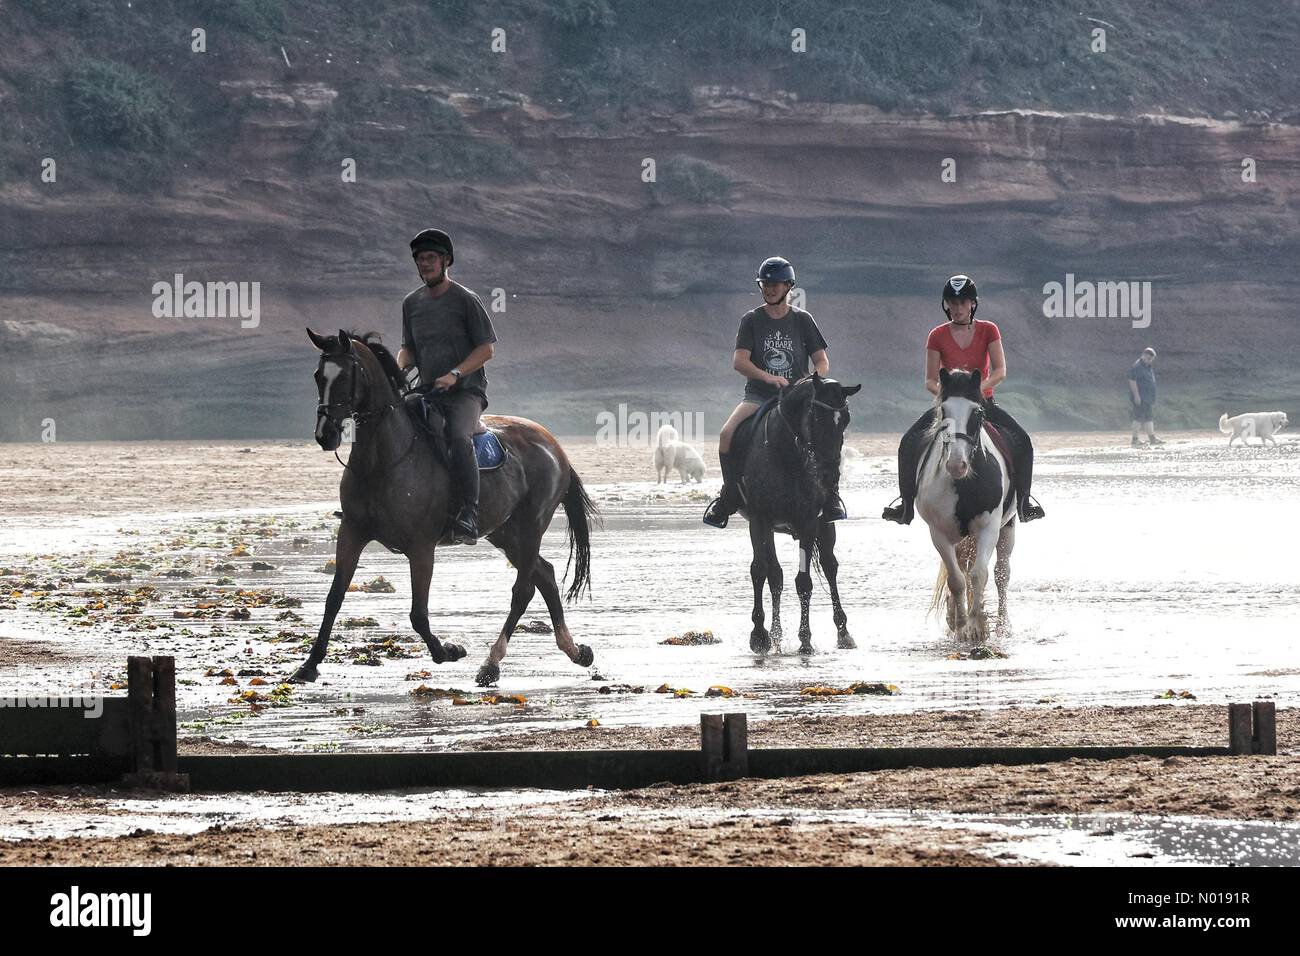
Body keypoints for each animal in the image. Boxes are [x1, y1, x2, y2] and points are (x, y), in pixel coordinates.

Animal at [293, 328, 598, 688]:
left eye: (345, 377)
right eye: (318, 376)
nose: (324, 435)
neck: (382, 459)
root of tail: (553, 445)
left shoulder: (421, 546)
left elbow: (418, 614)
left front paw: (448, 651)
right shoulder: (352, 532)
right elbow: (334, 598)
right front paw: (309, 665)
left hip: (530, 526)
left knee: (523, 589)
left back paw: (491, 664)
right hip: (505, 533)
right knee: (545, 575)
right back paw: (576, 652)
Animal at [736, 373, 861, 655]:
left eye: (846, 419)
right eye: (815, 415)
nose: (829, 474)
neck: (787, 455)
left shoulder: (809, 522)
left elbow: (804, 582)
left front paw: (805, 639)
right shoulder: (759, 520)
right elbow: (760, 570)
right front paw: (759, 635)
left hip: (826, 526)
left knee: (830, 567)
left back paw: (843, 632)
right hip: (771, 528)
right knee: (775, 575)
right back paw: (776, 635)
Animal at [915, 368, 1017, 643]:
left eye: (977, 412)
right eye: (943, 410)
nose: (956, 465)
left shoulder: (989, 527)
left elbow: (980, 574)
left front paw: (977, 625)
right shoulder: (938, 532)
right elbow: (957, 579)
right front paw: (960, 625)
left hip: (1008, 527)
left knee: (1002, 573)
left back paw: (1003, 624)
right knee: (962, 568)